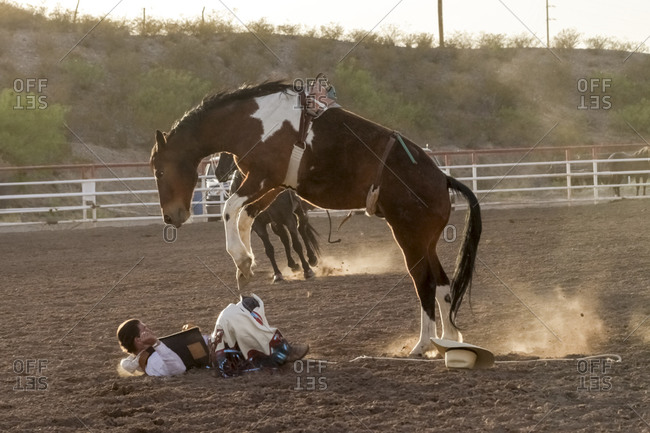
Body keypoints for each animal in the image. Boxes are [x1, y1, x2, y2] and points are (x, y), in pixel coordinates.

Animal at [218, 153, 320, 283]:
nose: (219, 173)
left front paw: (307, 270)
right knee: (285, 238)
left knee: (301, 229)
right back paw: (293, 264)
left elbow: (297, 244)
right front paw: (277, 274)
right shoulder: (259, 225)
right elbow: (269, 250)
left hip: (298, 212)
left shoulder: (287, 217)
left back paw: (311, 259)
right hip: (276, 223)